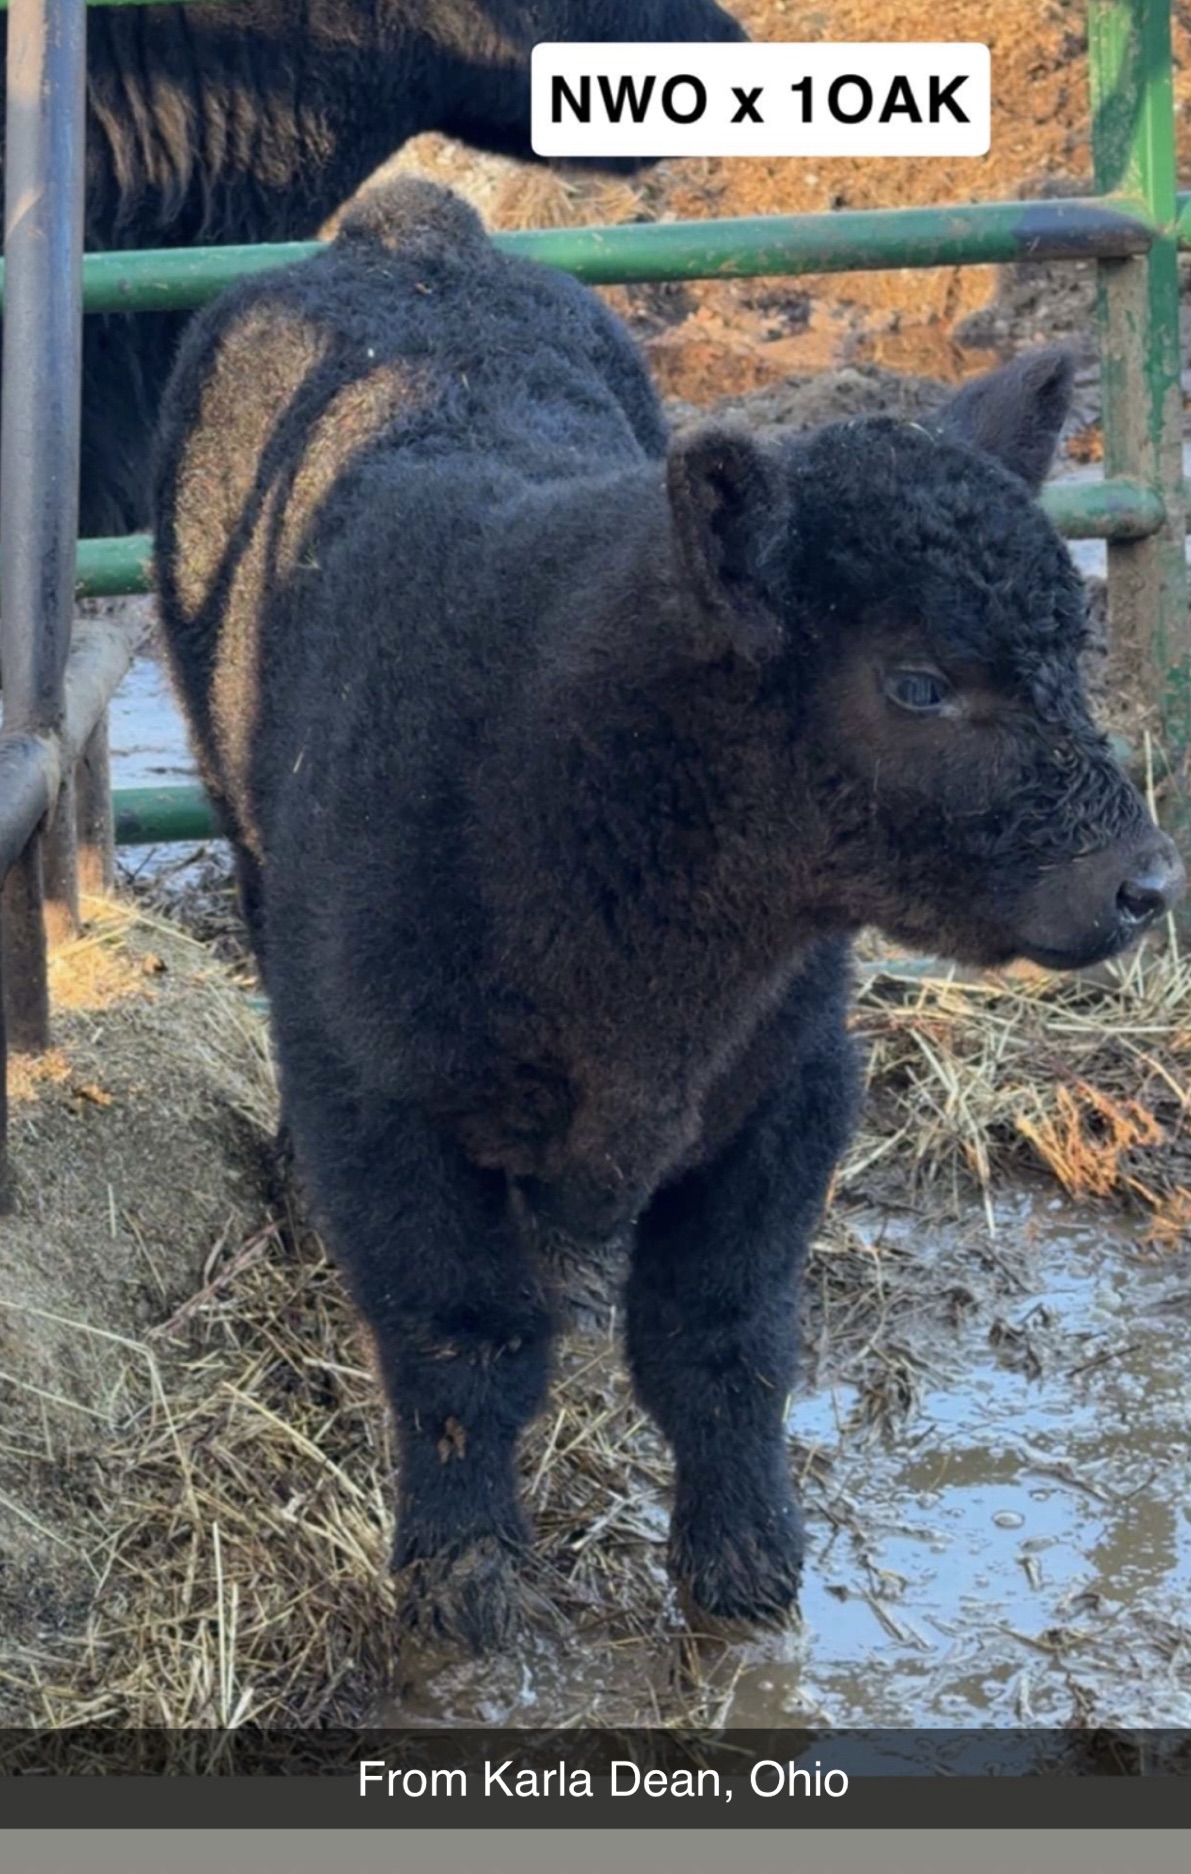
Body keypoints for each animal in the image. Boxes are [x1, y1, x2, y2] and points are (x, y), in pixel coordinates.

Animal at [153, 179, 1185, 1650]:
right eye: (916, 682)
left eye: (1075, 645)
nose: (1142, 879)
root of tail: (406, 230)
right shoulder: (380, 1104)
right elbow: (459, 1344)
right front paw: (464, 1574)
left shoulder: (789, 1091)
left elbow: (721, 1339)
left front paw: (747, 1564)